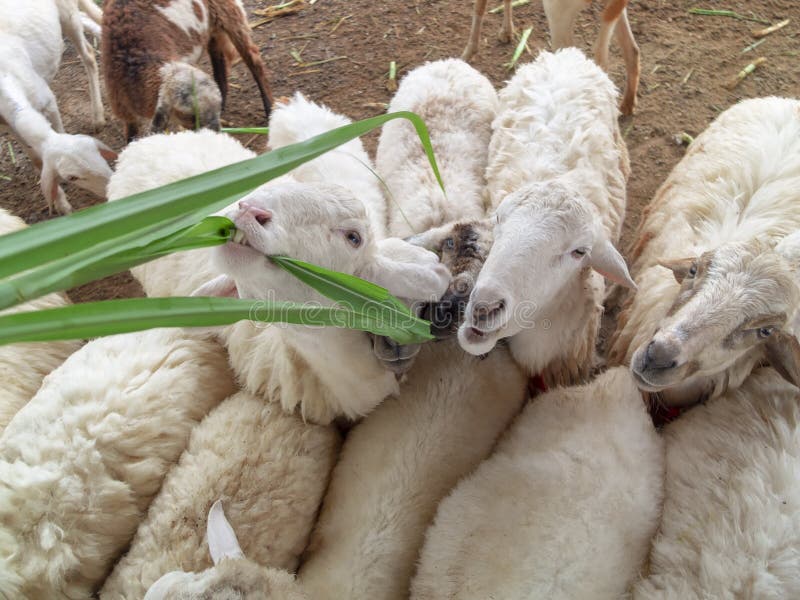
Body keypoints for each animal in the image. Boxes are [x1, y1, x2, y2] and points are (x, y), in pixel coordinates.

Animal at [0, 0, 117, 213]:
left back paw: (97, 116)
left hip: (67, 14)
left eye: (97, 153)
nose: (110, 186)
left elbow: (59, 131)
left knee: (88, 54)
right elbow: (38, 160)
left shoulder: (49, 102)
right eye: (72, 177)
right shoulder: (7, 125)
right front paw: (62, 205)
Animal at [102, 0, 273, 142]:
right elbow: (130, 137)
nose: (214, 136)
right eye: (190, 115)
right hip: (211, 27)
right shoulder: (125, 111)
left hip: (229, 13)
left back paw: (269, 108)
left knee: (253, 59)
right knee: (219, 63)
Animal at [462, 0, 640, 115]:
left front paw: (468, 53)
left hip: (557, 16)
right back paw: (627, 106)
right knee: (631, 50)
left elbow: (479, 8)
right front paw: (506, 32)